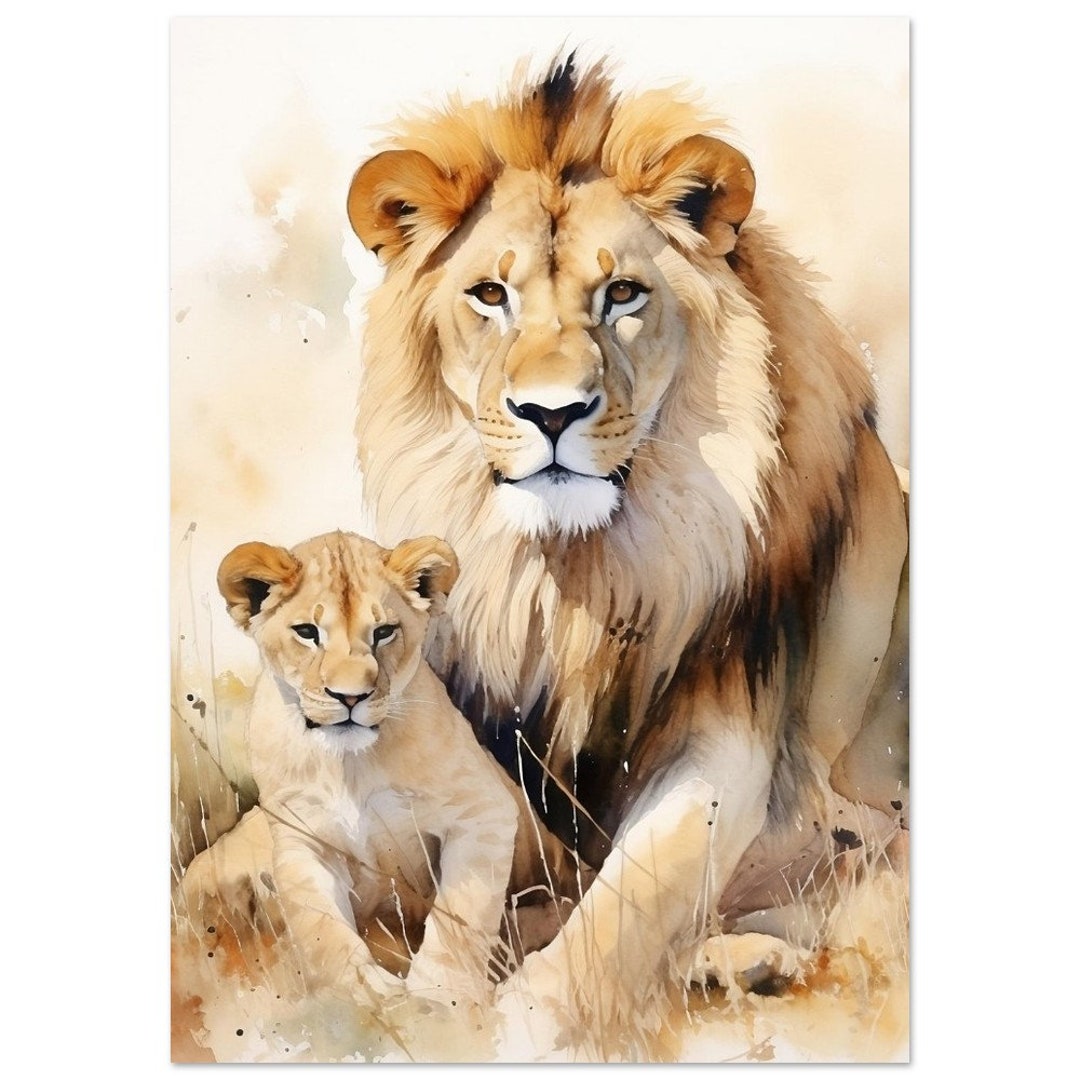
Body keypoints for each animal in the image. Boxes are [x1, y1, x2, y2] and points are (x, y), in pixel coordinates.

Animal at [215, 529, 579, 1007]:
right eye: (307, 633)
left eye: (384, 632)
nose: (350, 697)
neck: (350, 763)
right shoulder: (303, 839)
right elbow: (322, 930)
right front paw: (361, 997)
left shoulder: (486, 812)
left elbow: (459, 913)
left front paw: (441, 995)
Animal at [345, 56, 908, 1035]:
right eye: (489, 295)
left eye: (622, 294)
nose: (553, 412)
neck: (574, 575)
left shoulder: (733, 739)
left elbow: (625, 905)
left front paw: (522, 1018)